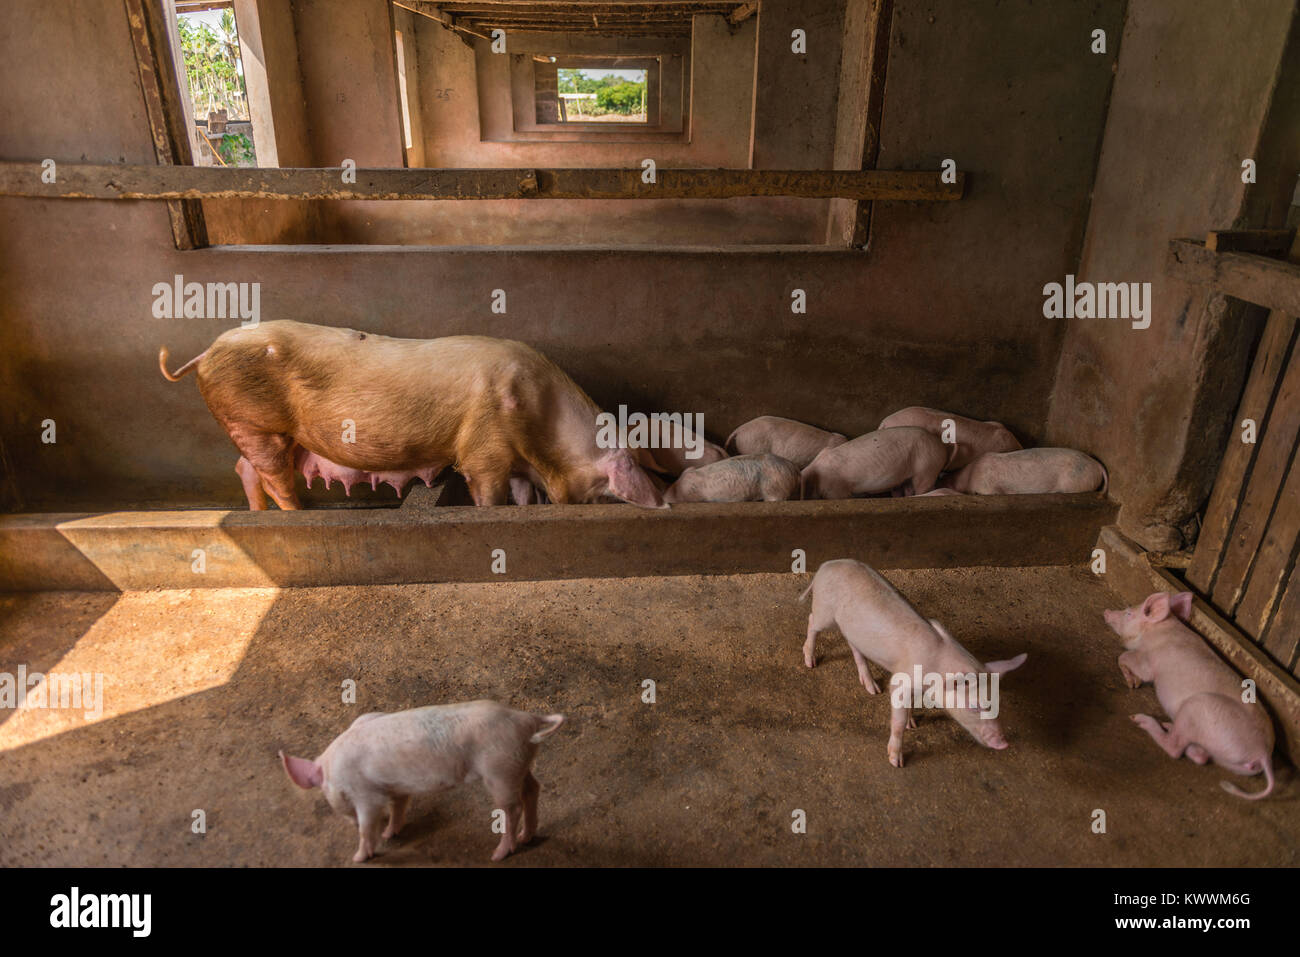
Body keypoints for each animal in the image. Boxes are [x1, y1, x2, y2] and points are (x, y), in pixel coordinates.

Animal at [160, 321, 665, 511]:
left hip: (258, 433)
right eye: (609, 485)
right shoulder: (484, 449)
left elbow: (521, 494)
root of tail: (205, 353)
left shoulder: (517, 462)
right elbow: (488, 491)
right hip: (254, 423)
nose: (663, 501)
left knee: (245, 469)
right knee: (272, 477)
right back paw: (297, 514)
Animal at [280, 701, 566, 862]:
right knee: (532, 789)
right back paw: (527, 837)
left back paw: (499, 854)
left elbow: (367, 825)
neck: (332, 768)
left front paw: (359, 857)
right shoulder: (395, 786)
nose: (348, 820)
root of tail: (526, 720)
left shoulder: (365, 794)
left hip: (499, 769)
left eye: (330, 796)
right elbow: (399, 805)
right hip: (519, 763)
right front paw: (390, 833)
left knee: (512, 807)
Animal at [800, 559, 1027, 766]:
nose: (1003, 743)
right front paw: (896, 761)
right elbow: (898, 721)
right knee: (811, 621)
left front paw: (913, 724)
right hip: (824, 611)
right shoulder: (900, 681)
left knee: (853, 644)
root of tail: (827, 564)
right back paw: (810, 662)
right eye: (974, 705)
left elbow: (910, 706)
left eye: (997, 702)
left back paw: (872, 688)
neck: (936, 669)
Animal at [1103, 592, 1276, 799]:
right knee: (1201, 756)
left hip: (1199, 707)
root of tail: (1263, 753)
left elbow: (1126, 658)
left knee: (1175, 748)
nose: (1106, 611)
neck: (1157, 630)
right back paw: (1168, 725)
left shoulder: (1148, 661)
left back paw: (1141, 720)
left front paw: (1133, 682)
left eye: (1128, 613)